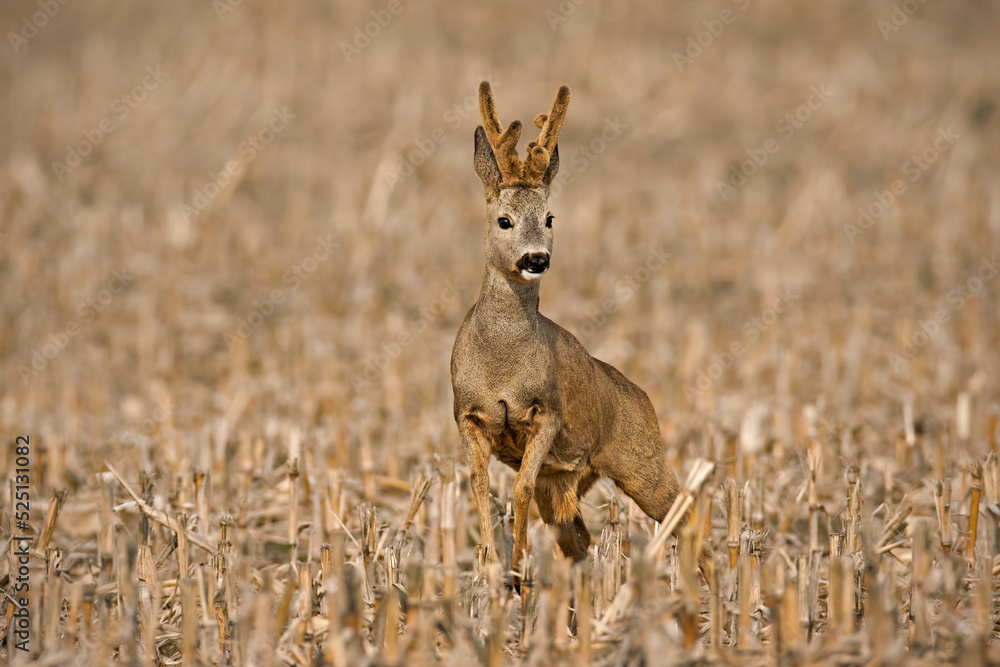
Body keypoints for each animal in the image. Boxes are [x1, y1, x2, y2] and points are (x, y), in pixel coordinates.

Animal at [451, 82, 707, 589]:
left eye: (551, 217)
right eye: (504, 220)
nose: (536, 259)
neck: (500, 364)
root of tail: (642, 398)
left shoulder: (547, 412)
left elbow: (519, 488)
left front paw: (516, 570)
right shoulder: (466, 413)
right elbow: (480, 487)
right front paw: (488, 564)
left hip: (641, 460)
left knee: (684, 513)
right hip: (568, 480)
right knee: (581, 542)